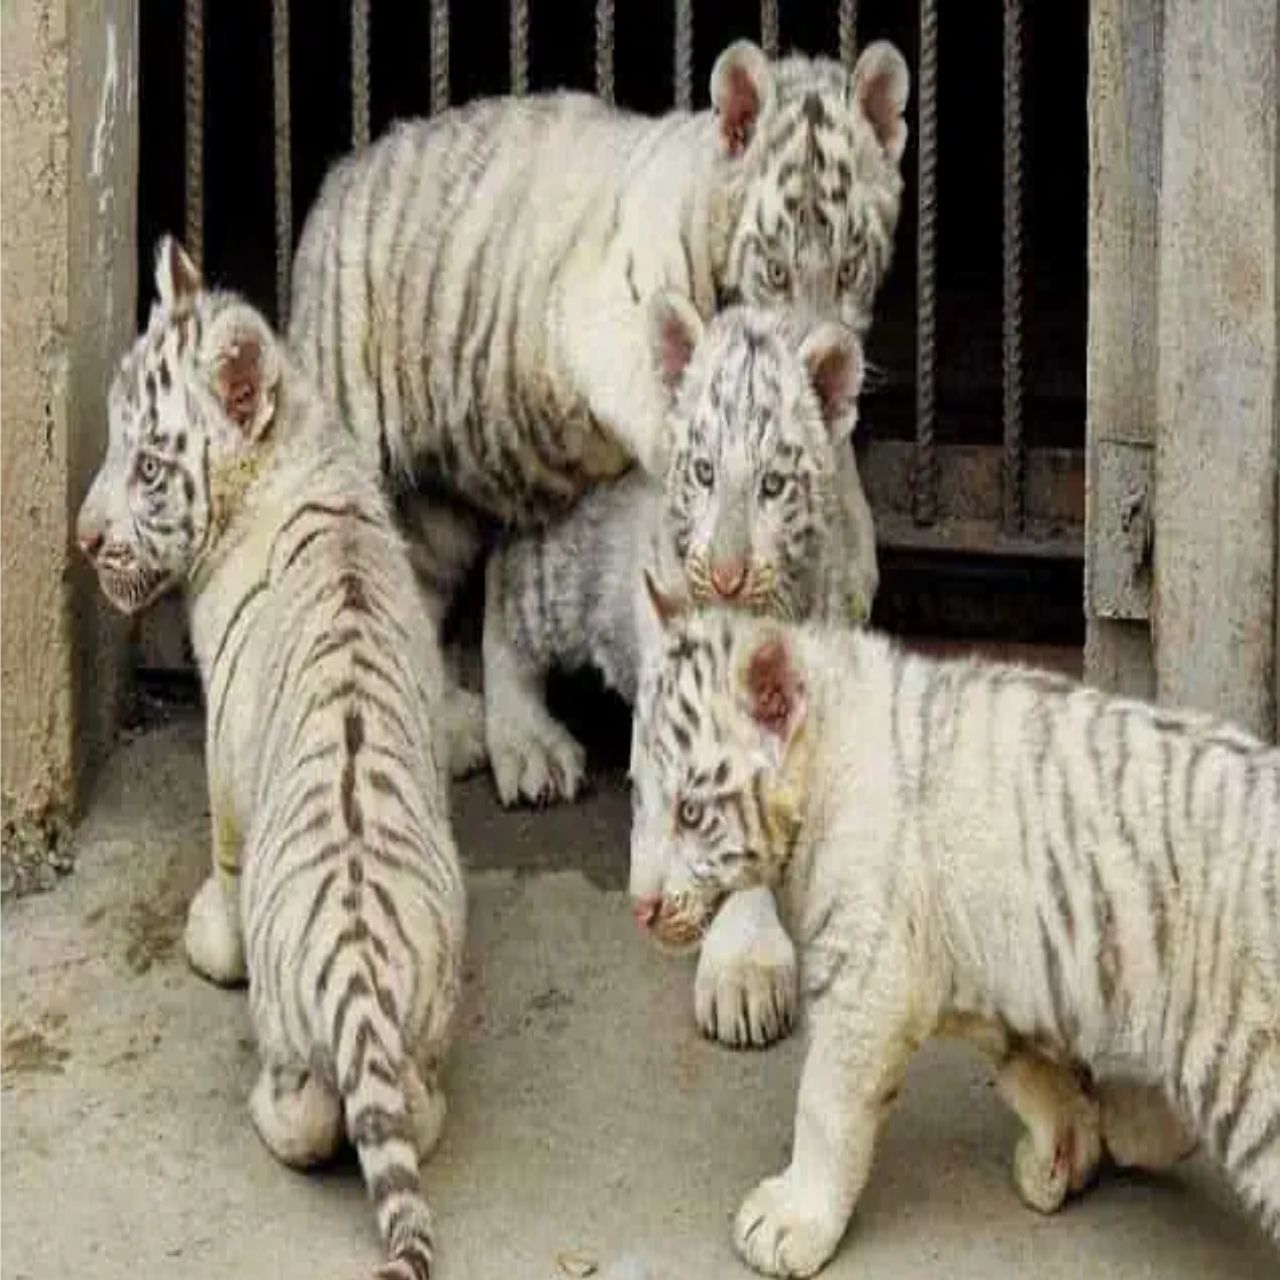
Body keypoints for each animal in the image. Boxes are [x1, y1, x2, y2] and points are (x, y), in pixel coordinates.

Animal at [76, 238, 466, 1280]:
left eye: (150, 464)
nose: (83, 540)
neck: (297, 446)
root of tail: (361, 979)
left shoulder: (224, 730)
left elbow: (224, 847)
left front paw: (212, 937)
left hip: (297, 1042)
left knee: (305, 1121)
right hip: (425, 1020)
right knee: (415, 1113)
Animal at [287, 37, 910, 755]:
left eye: (849, 268)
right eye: (775, 271)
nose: (820, 348)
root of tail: (334, 183)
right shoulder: (604, 324)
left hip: (438, 511)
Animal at [629, 595, 1277, 1275]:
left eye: (691, 812)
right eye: (636, 795)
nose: (640, 907)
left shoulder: (866, 980)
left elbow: (824, 1102)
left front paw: (792, 1221)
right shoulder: (1002, 962)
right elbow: (1026, 1068)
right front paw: (1071, 1145)